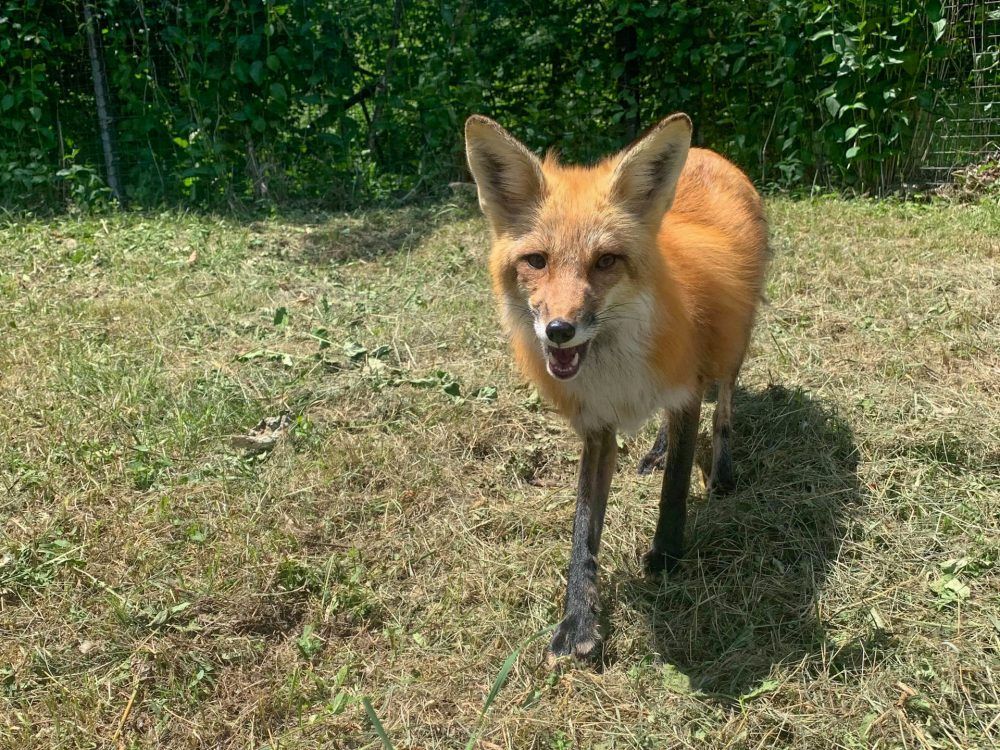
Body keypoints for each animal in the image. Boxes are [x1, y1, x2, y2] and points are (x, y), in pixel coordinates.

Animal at [464, 113, 769, 659]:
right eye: (537, 261)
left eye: (605, 261)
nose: (559, 330)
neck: (615, 367)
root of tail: (706, 153)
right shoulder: (598, 424)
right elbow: (583, 530)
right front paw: (578, 621)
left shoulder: (685, 389)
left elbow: (675, 490)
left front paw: (667, 557)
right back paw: (657, 451)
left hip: (731, 348)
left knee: (724, 413)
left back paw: (722, 472)